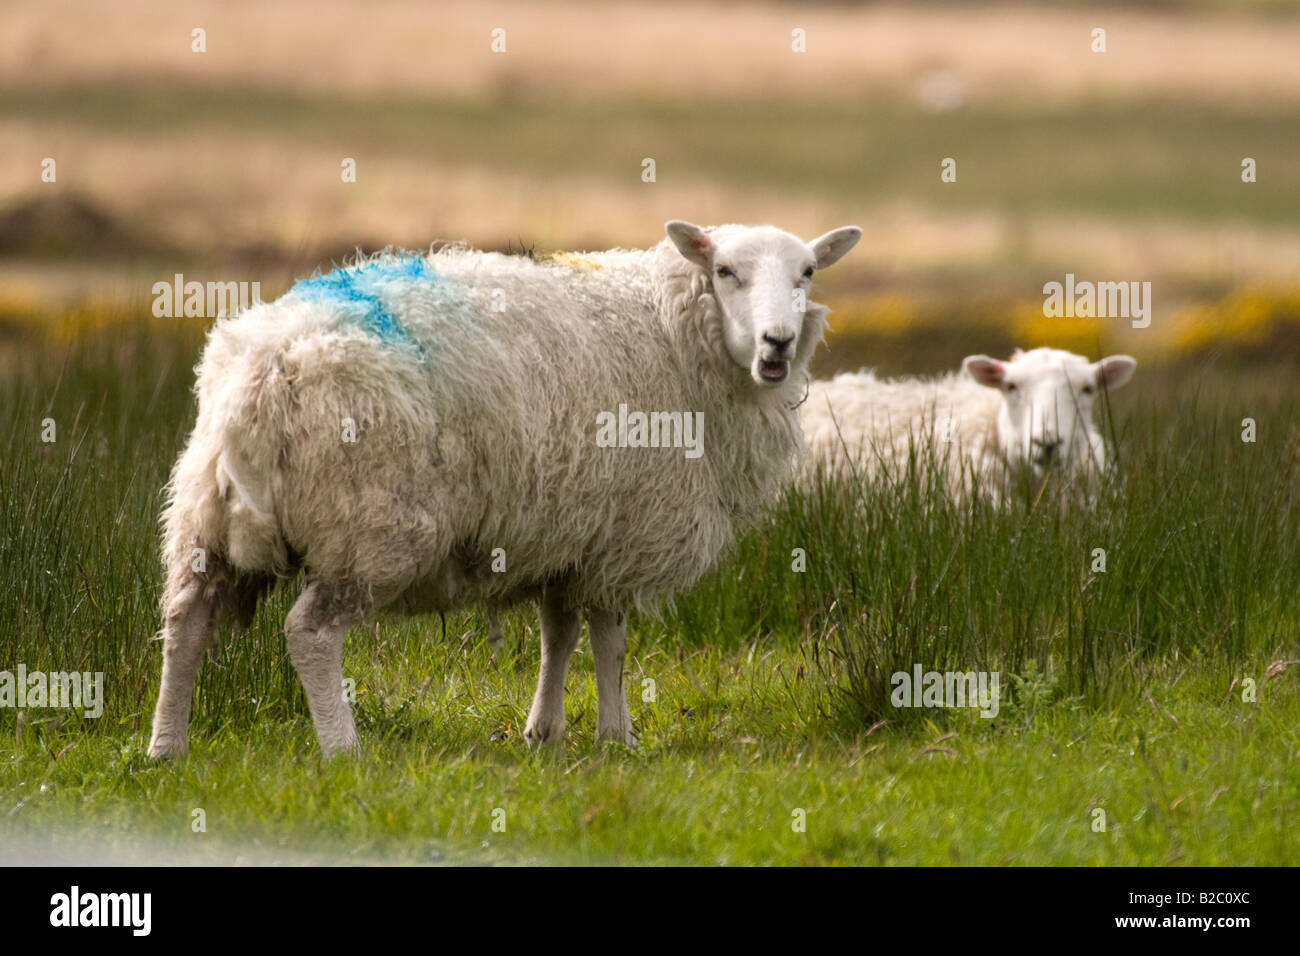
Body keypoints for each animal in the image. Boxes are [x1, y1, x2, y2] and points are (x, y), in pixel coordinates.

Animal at [147, 220, 862, 758]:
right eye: (726, 272)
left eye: (807, 274)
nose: (778, 342)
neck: (668, 327)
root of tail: (266, 372)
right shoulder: (622, 536)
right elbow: (611, 642)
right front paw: (617, 737)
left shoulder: (567, 536)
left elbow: (559, 635)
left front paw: (544, 731)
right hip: (372, 523)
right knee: (311, 633)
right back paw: (343, 749)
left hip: (204, 519)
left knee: (185, 621)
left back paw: (166, 748)